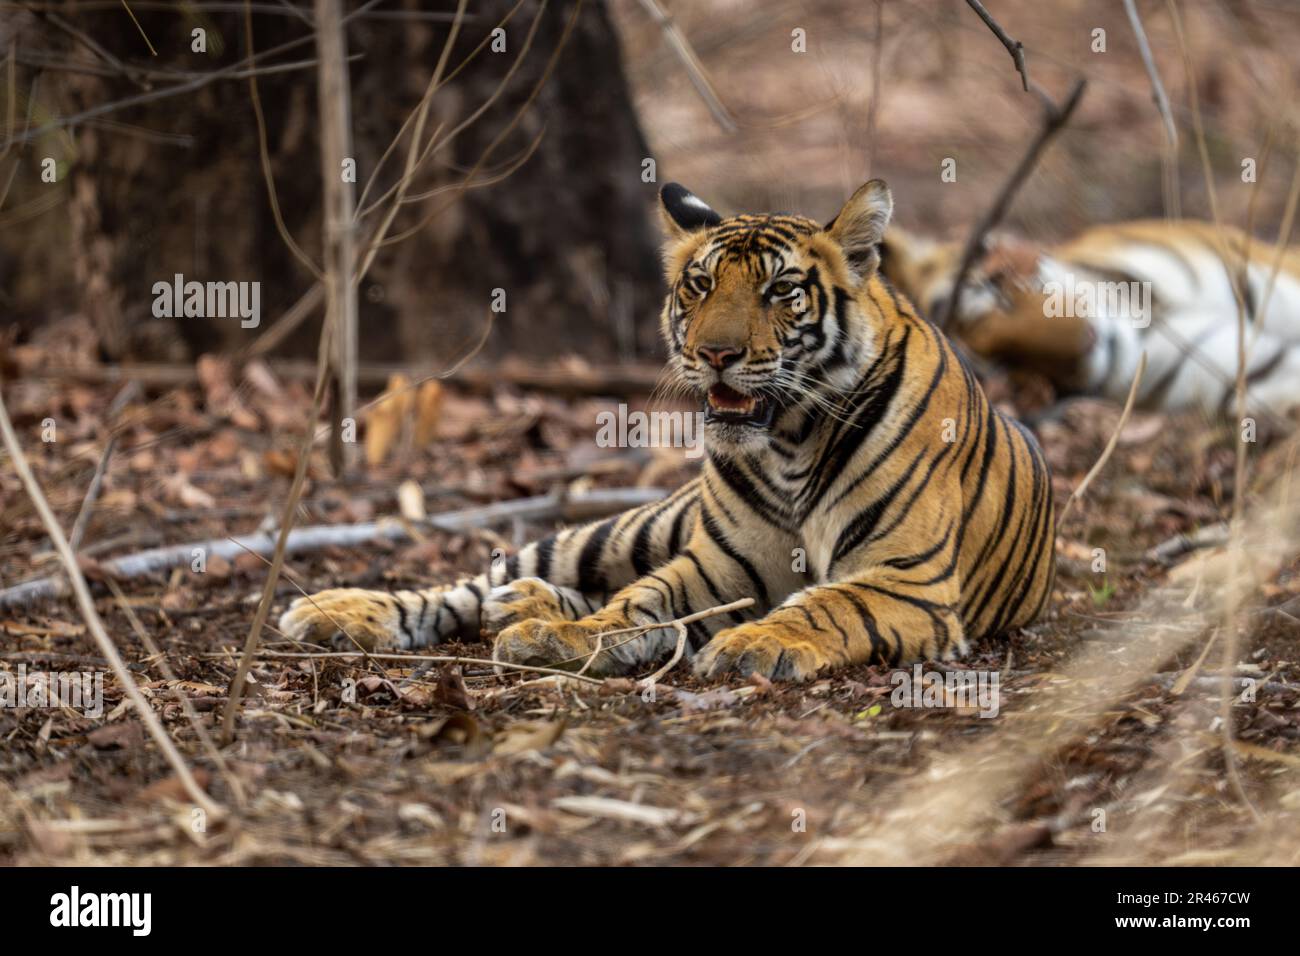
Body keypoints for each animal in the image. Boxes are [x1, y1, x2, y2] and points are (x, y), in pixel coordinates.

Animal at [278, 180, 1056, 682]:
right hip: (630, 528)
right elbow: (637, 603)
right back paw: (340, 608)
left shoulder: (906, 580)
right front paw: (565, 637)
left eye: (781, 291)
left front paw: (754, 644)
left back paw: (518, 603)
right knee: (475, 583)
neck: (790, 444)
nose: (715, 353)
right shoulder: (717, 565)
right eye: (701, 285)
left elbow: (826, 605)